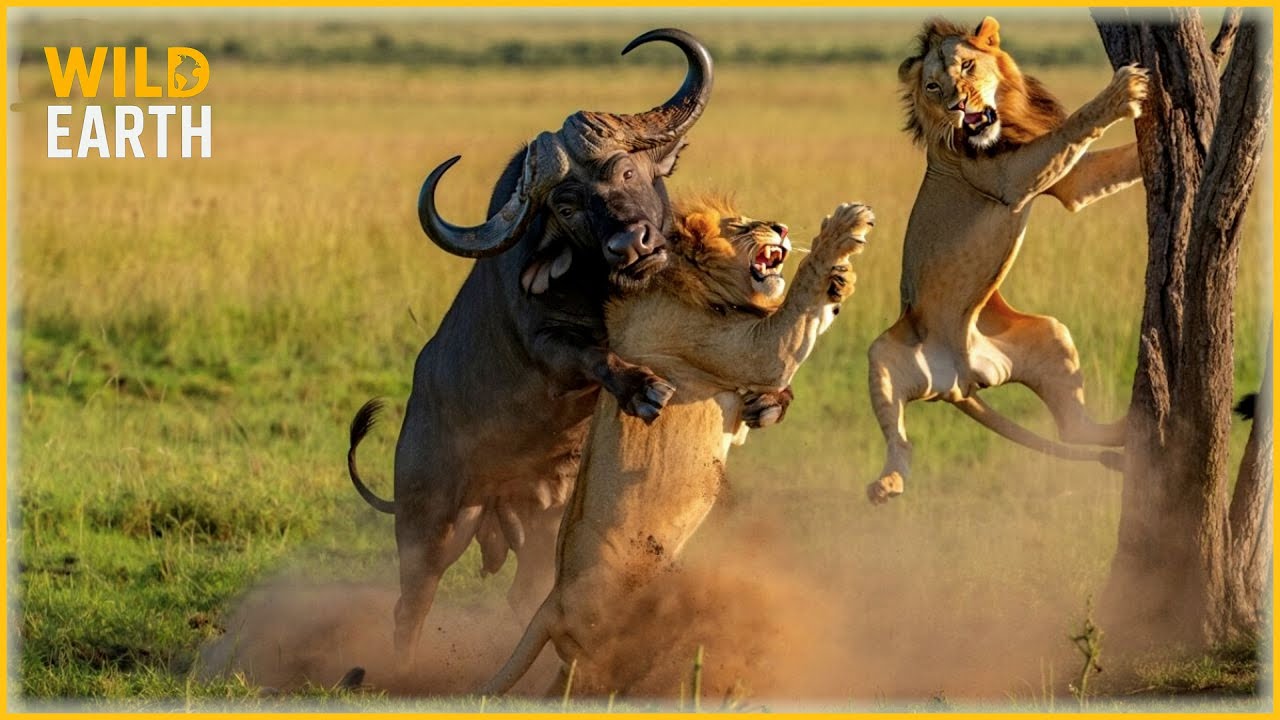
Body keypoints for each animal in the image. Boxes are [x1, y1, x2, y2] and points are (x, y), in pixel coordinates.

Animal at [477, 199, 875, 696]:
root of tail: (551, 601)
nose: (781, 227)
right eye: (740, 224)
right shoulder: (753, 349)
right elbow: (795, 309)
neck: (700, 288)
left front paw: (841, 281)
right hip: (602, 648)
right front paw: (842, 231)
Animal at [865, 16, 1148, 504]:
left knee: (1077, 431)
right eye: (934, 87)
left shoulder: (1073, 181)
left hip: (1050, 337)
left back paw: (1134, 424)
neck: (1008, 117)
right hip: (882, 354)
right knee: (901, 441)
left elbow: (1114, 162)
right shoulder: (1008, 177)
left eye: (967, 66)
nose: (959, 105)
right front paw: (1122, 91)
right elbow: (1074, 125)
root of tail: (960, 382)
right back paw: (886, 484)